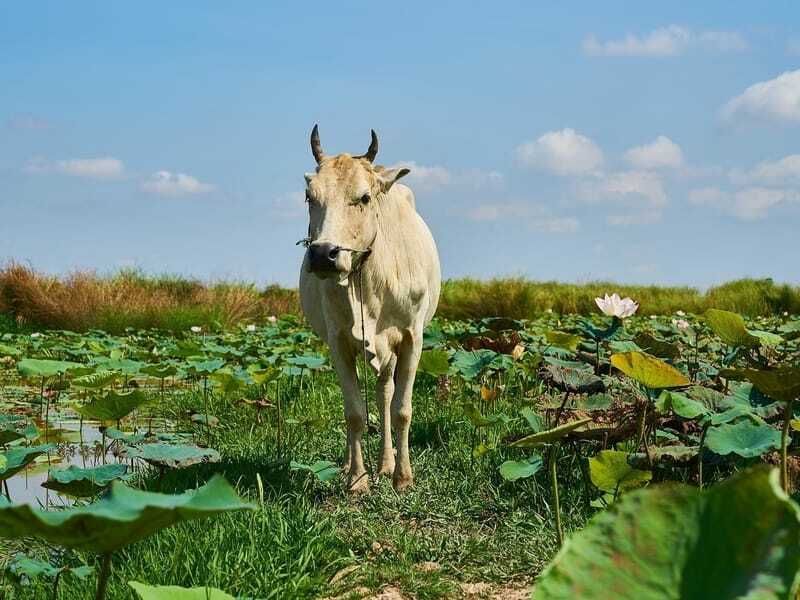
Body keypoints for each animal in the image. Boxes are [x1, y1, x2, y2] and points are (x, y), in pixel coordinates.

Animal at [298, 126, 440, 492]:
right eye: (309, 196)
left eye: (363, 198)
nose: (324, 255)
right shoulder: (337, 342)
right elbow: (354, 413)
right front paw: (357, 480)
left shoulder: (412, 338)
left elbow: (401, 409)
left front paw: (403, 477)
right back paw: (353, 465)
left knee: (384, 395)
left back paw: (387, 464)